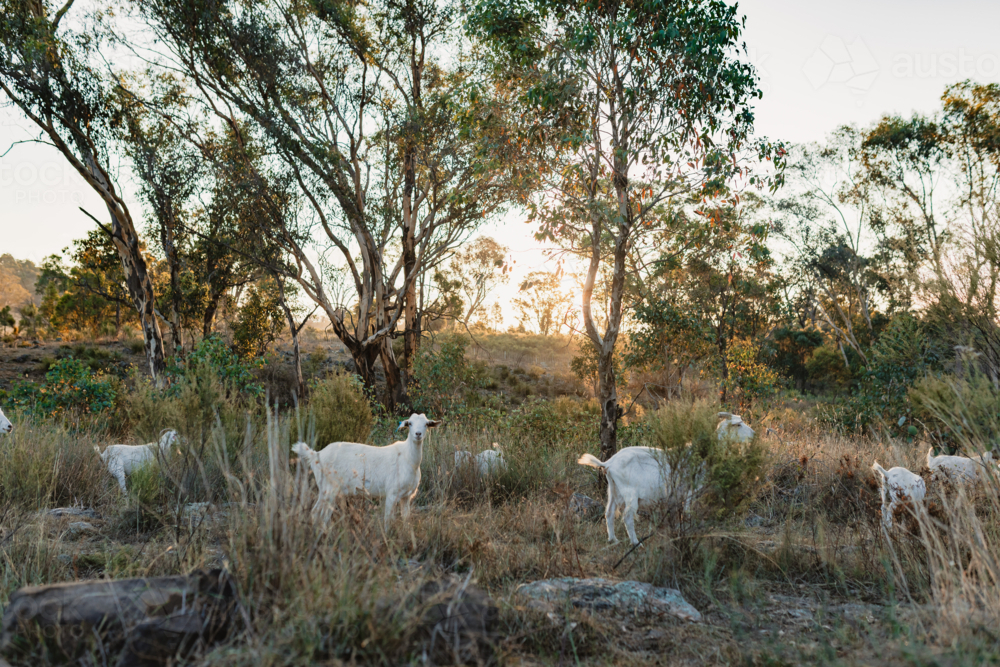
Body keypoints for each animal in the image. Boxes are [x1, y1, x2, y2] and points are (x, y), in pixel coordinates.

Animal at [294, 413, 441, 529]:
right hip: (329, 488)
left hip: (328, 490)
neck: (408, 459)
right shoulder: (392, 493)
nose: (418, 434)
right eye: (410, 423)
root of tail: (315, 455)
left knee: (318, 513)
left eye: (426, 424)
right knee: (321, 514)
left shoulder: (407, 496)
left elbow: (406, 520)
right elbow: (388, 520)